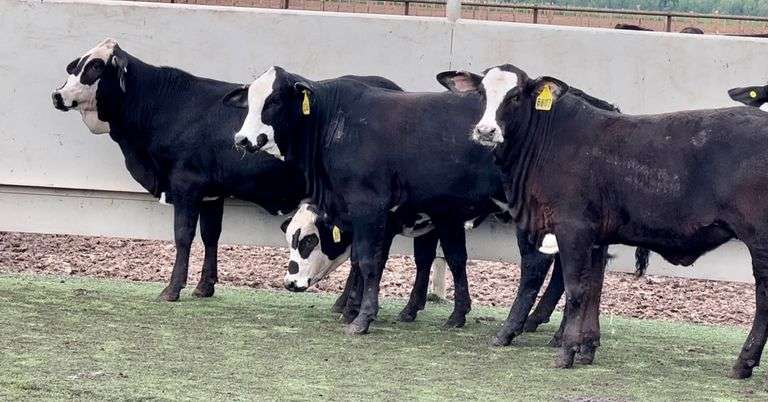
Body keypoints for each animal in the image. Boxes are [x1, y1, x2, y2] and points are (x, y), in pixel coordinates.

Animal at [439, 64, 768, 381]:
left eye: (516, 95)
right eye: (482, 93)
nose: (485, 130)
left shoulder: (572, 229)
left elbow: (575, 289)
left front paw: (566, 352)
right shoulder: (597, 237)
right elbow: (594, 288)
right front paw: (587, 347)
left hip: (760, 239)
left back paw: (744, 362)